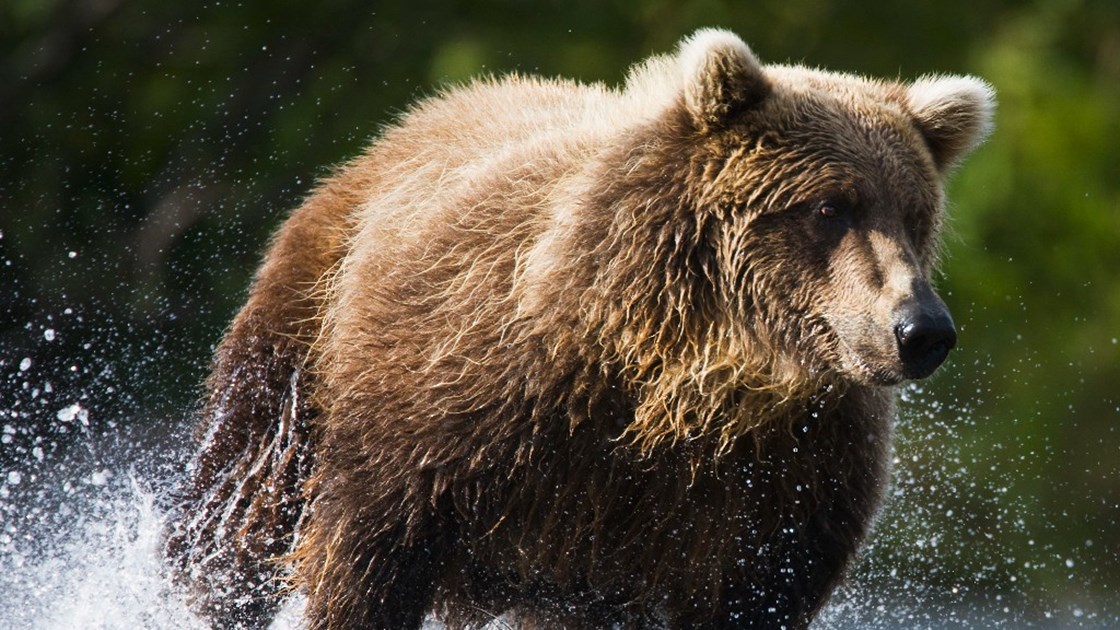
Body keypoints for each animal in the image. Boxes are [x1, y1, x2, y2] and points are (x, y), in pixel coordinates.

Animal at [164, 29, 994, 629]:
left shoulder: (779, 489)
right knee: (237, 508)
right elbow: (365, 559)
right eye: (830, 206)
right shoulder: (451, 411)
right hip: (303, 339)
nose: (921, 328)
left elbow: (757, 587)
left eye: (915, 214)